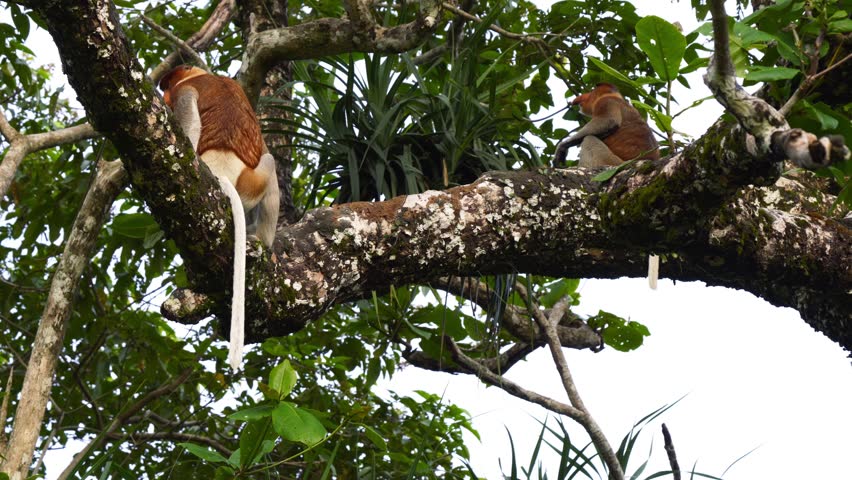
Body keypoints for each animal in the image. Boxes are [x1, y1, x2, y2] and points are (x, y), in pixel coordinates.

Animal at [159, 65, 280, 370]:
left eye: (167, 87)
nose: (163, 97)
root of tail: (220, 171)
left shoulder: (184, 92)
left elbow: (189, 127)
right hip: (254, 181)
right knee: (270, 159)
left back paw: (262, 241)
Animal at [553, 83, 661, 288]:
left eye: (592, 90)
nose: (581, 96)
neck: (618, 97)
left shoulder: (606, 103)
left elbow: (608, 122)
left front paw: (562, 147)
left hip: (612, 164)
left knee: (590, 140)